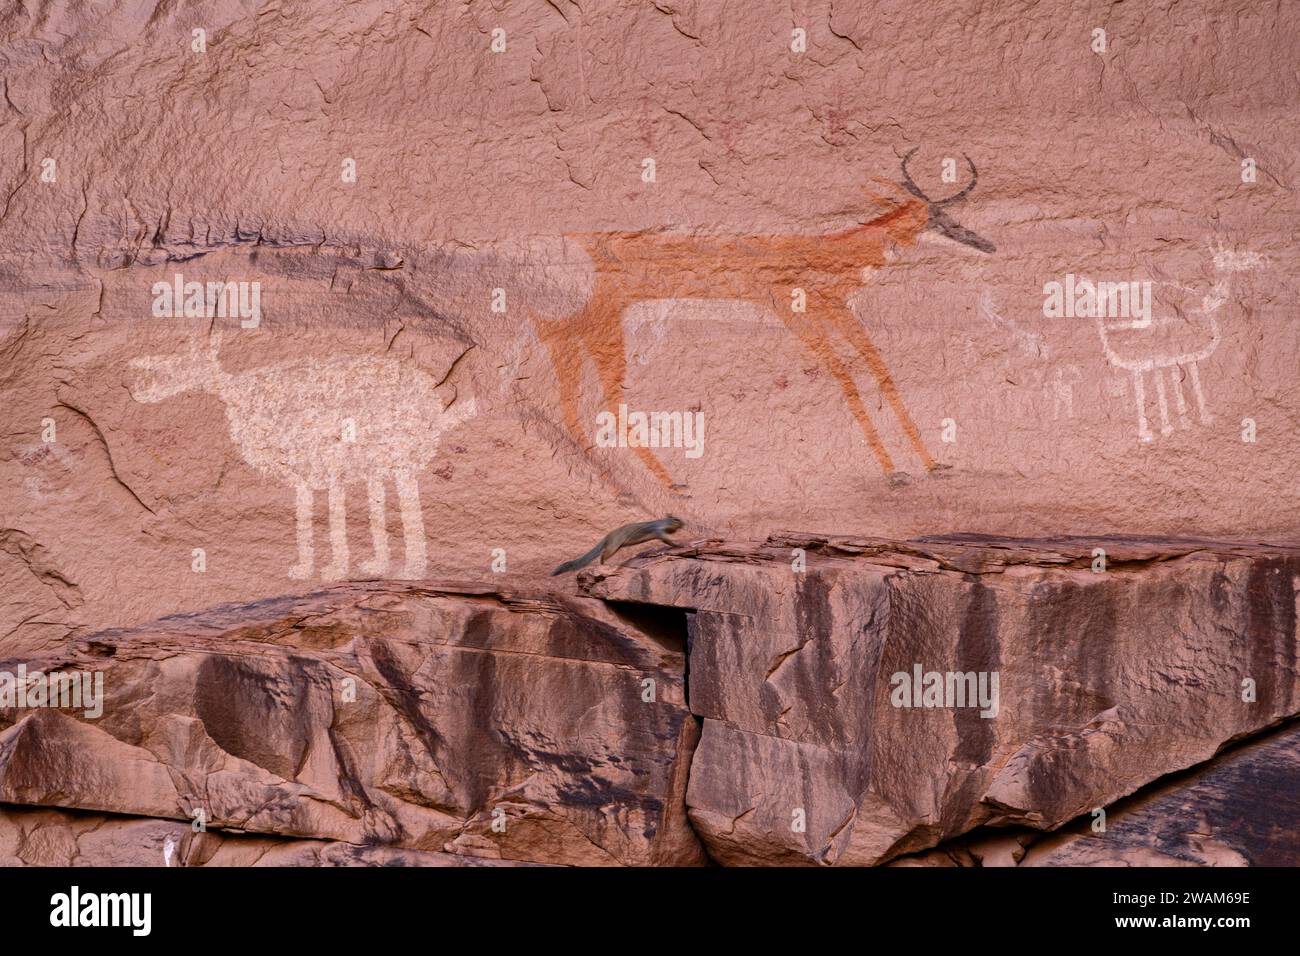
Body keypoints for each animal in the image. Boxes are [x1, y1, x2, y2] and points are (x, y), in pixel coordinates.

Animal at [535, 148, 995, 487]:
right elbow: (846, 376)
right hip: (604, 322)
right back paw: (670, 484)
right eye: (936, 217)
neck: (835, 251)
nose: (985, 244)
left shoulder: (839, 312)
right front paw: (895, 471)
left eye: (949, 216)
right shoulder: (795, 313)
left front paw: (933, 465)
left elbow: (878, 368)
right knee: (606, 394)